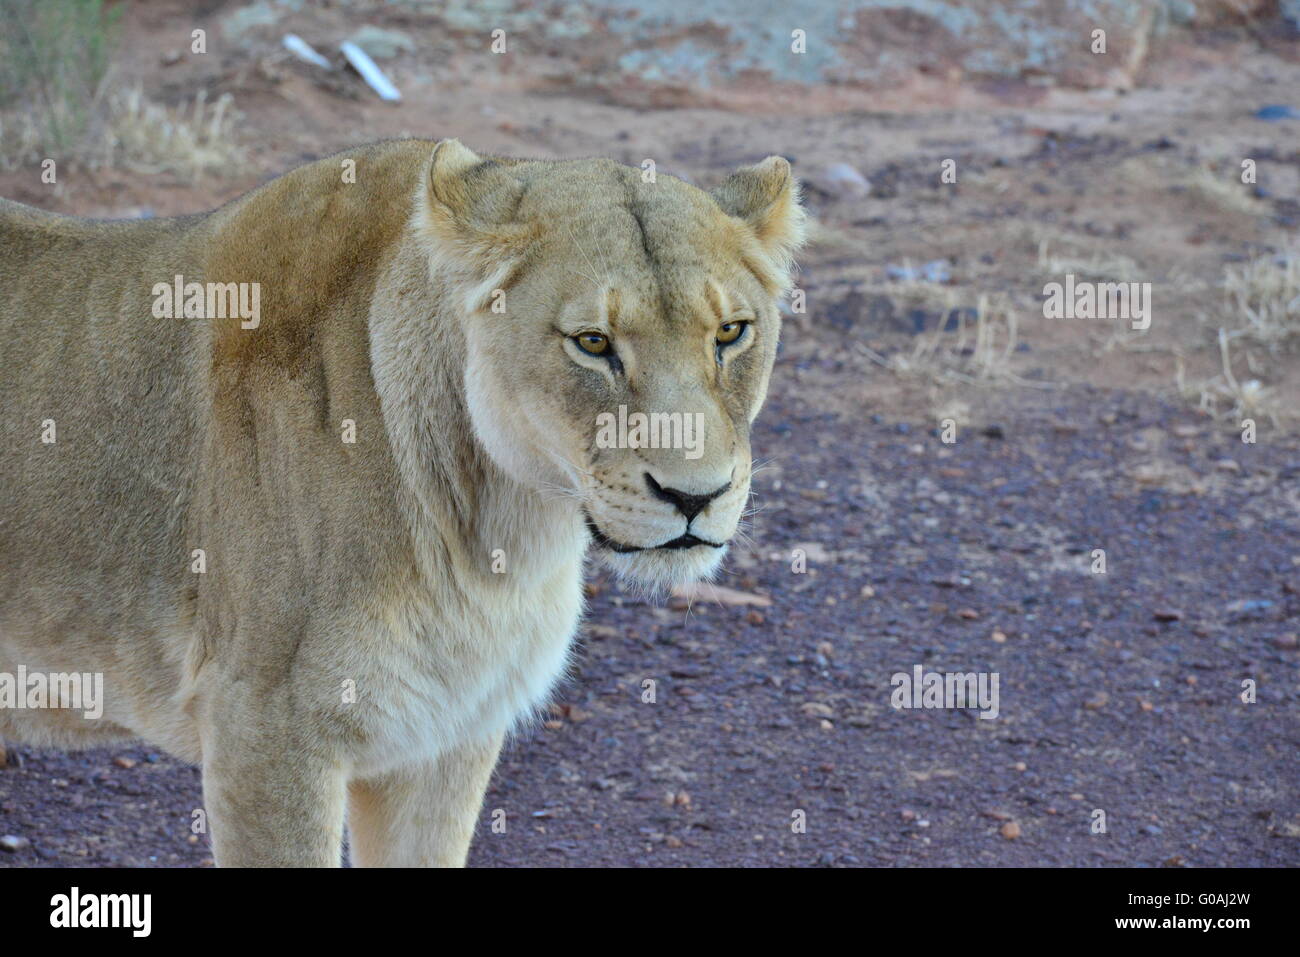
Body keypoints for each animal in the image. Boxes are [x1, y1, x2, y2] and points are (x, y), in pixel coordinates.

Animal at [0, 139, 806, 866]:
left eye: (731, 332)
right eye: (592, 343)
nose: (695, 495)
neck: (500, 538)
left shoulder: (447, 740)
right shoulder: (264, 731)